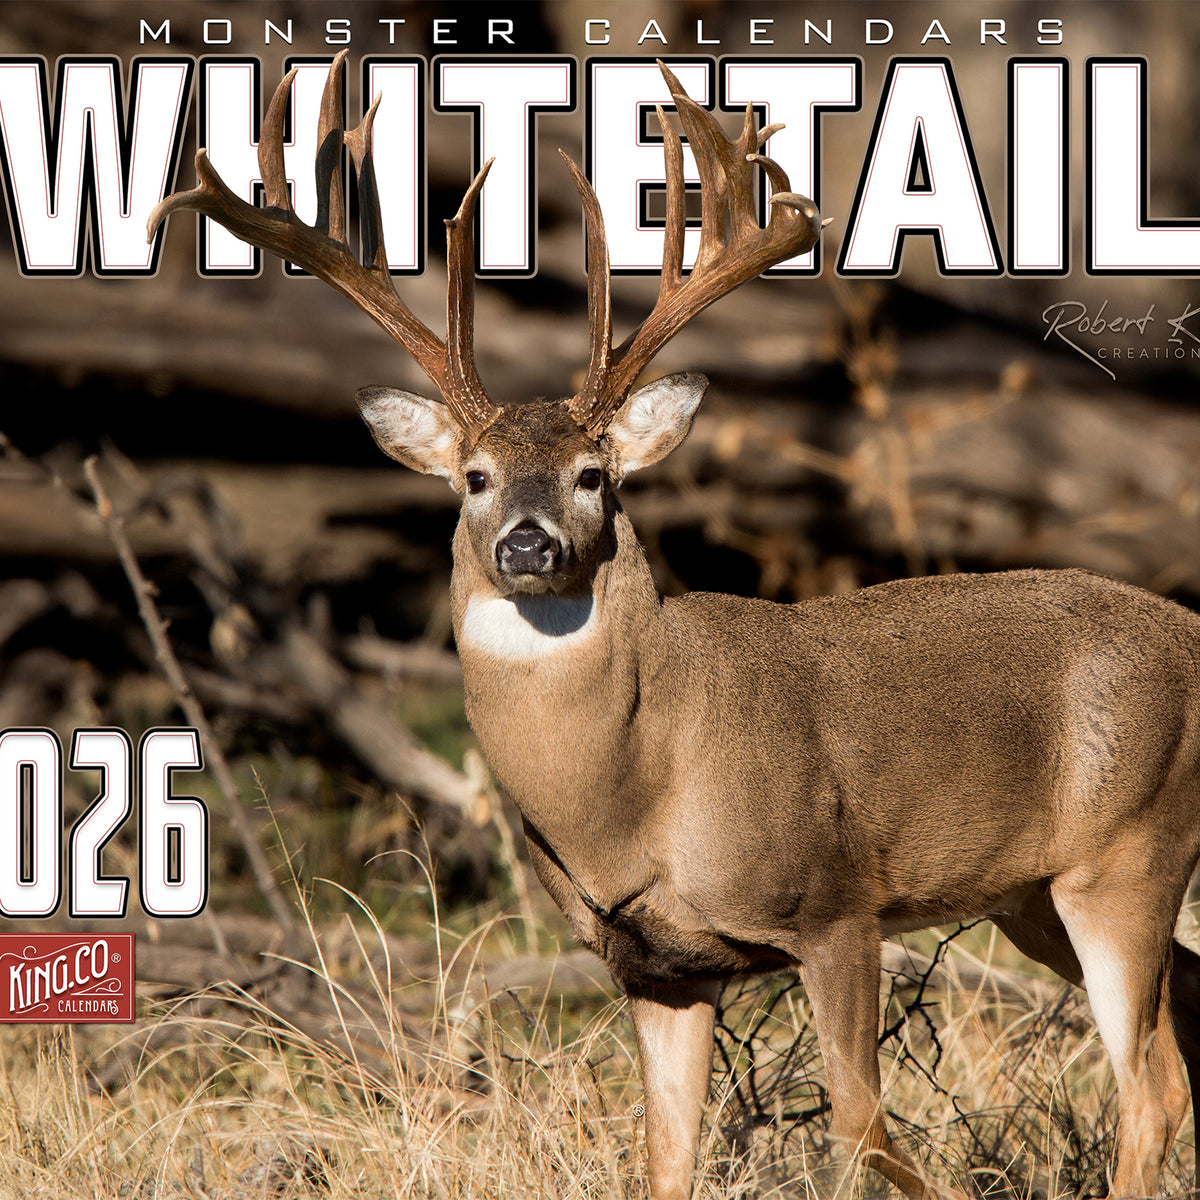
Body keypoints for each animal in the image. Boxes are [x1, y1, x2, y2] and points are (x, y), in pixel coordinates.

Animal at [149, 51, 1200, 1200]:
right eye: (474, 477)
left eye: (592, 474)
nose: (527, 544)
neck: (634, 790)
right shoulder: (655, 965)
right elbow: (664, 1158)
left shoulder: (836, 903)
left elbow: (864, 1126)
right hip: (1033, 893)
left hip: (1128, 848)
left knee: (1150, 1086)